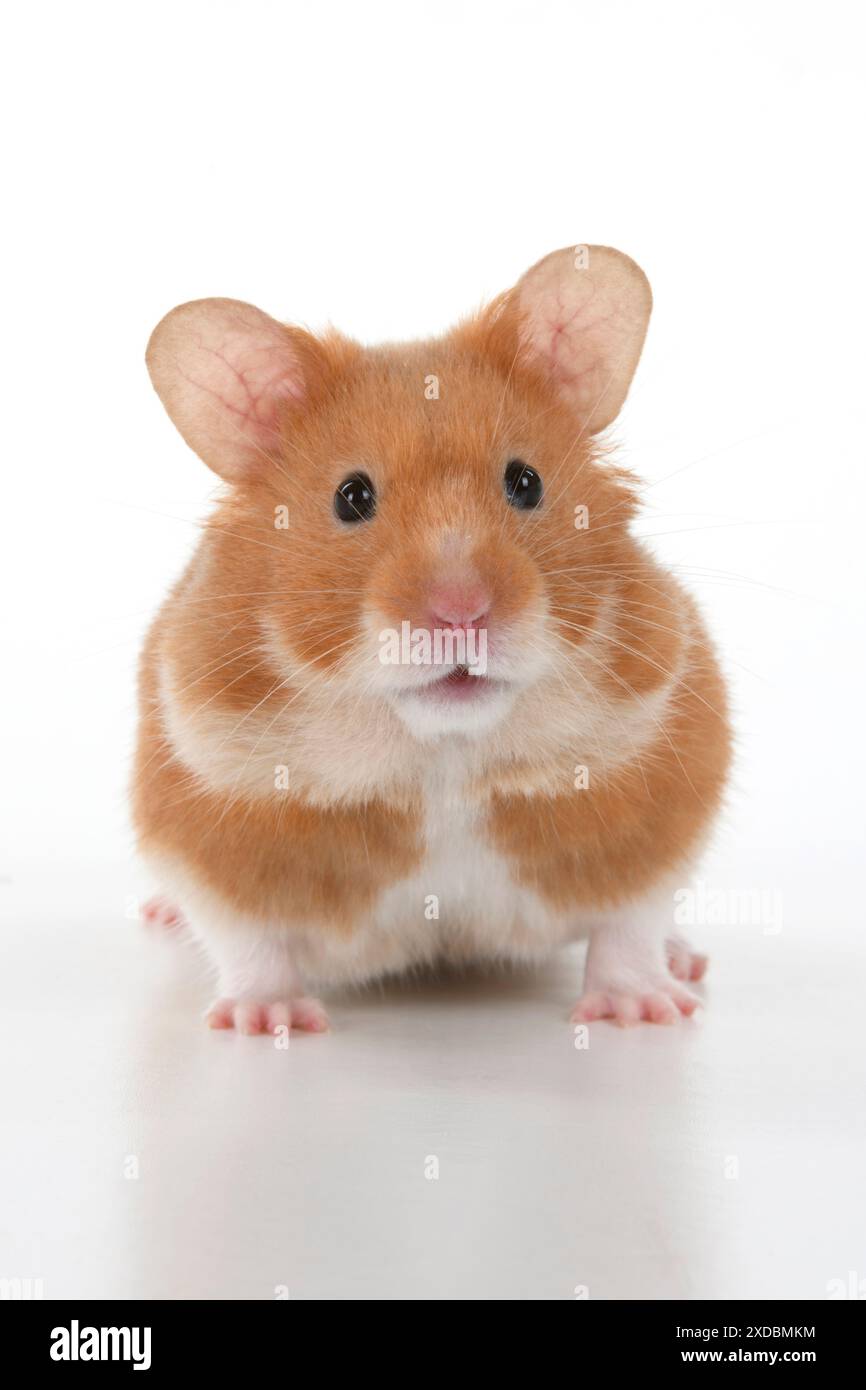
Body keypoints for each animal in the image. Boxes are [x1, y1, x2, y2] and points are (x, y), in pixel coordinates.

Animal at [133, 246, 730, 1034]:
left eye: (526, 482)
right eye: (351, 497)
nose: (460, 614)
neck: (440, 758)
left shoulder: (664, 808)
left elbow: (630, 924)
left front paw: (643, 1011)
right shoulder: (204, 825)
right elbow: (249, 943)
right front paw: (269, 1022)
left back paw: (686, 962)